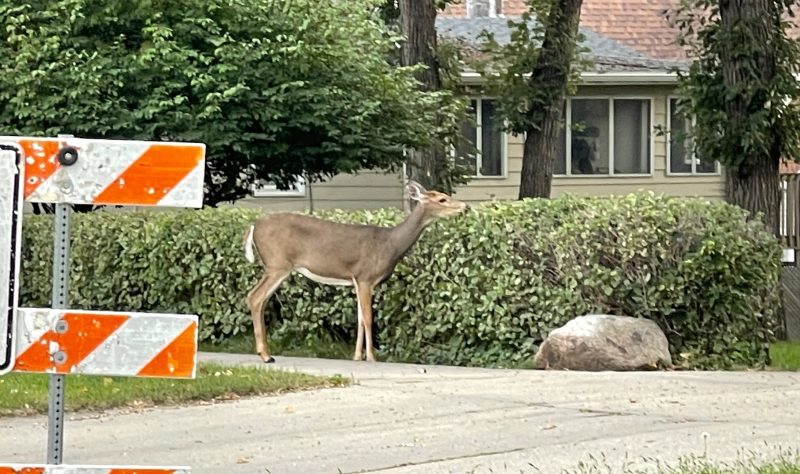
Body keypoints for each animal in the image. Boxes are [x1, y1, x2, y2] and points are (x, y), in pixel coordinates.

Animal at [242, 180, 469, 363]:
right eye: (442, 199)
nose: (465, 207)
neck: (390, 245)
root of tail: (253, 226)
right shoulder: (365, 276)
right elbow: (368, 317)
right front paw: (371, 357)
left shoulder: (357, 281)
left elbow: (359, 318)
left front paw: (357, 356)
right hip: (277, 263)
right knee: (254, 297)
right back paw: (265, 356)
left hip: (276, 266)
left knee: (260, 300)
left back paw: (266, 353)